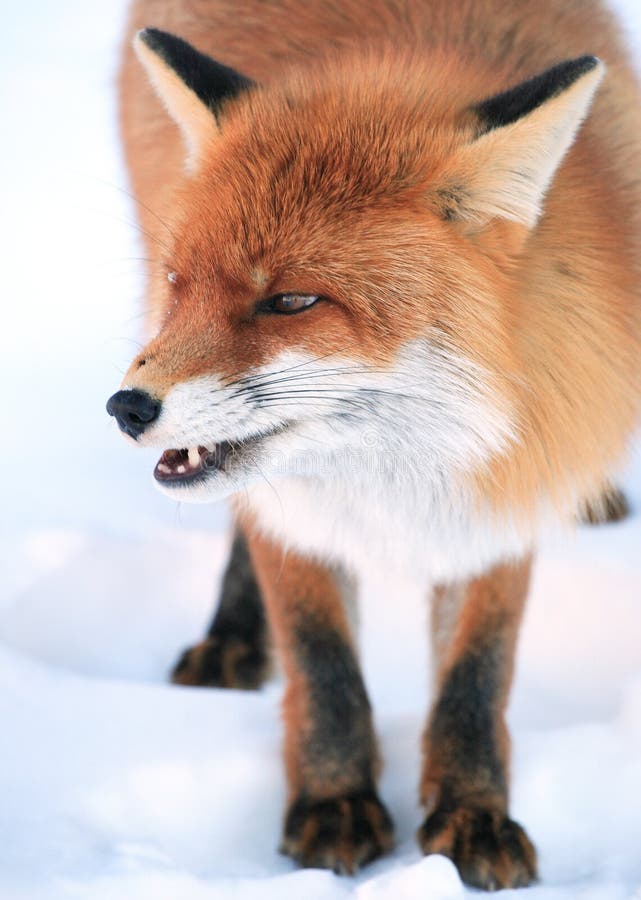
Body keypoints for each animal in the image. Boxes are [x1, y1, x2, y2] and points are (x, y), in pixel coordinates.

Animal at [107, 0, 641, 889]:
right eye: (180, 285)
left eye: (290, 301)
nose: (125, 406)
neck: (393, 475)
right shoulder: (295, 512)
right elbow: (320, 661)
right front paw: (333, 805)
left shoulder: (511, 472)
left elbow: (475, 672)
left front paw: (472, 817)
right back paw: (231, 639)